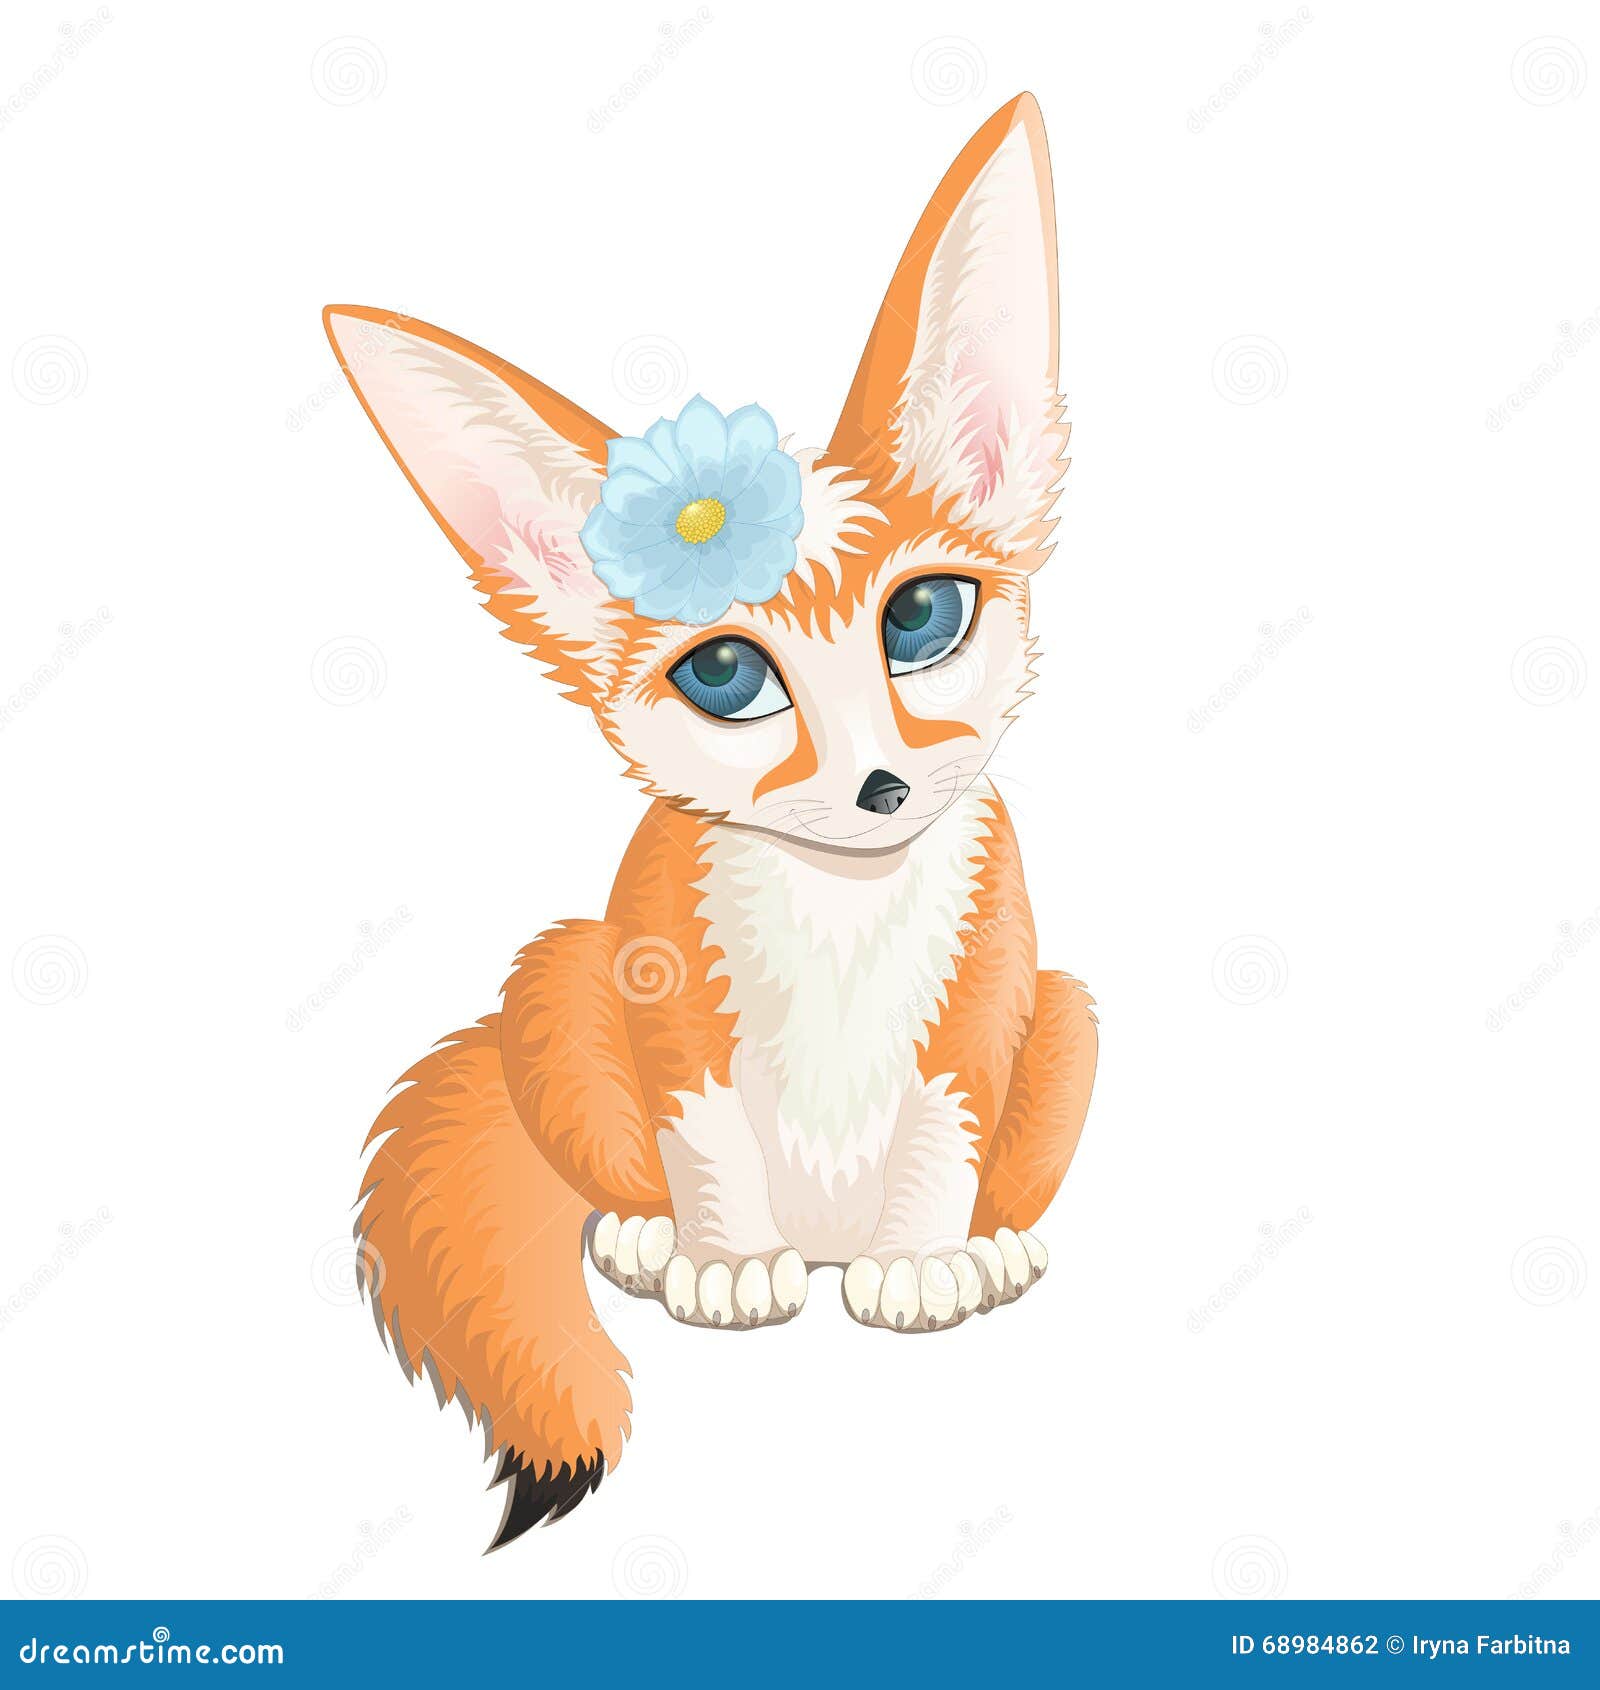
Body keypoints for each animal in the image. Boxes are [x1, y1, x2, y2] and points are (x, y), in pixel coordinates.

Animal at [328, 92, 1097, 1551]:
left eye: (922, 617)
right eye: (727, 676)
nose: (880, 787)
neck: (841, 909)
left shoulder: (994, 974)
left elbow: (945, 1121)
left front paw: (923, 1256)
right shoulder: (658, 974)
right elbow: (705, 1133)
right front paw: (729, 1262)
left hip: (1071, 1010)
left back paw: (987, 1243)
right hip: (564, 966)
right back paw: (647, 1236)